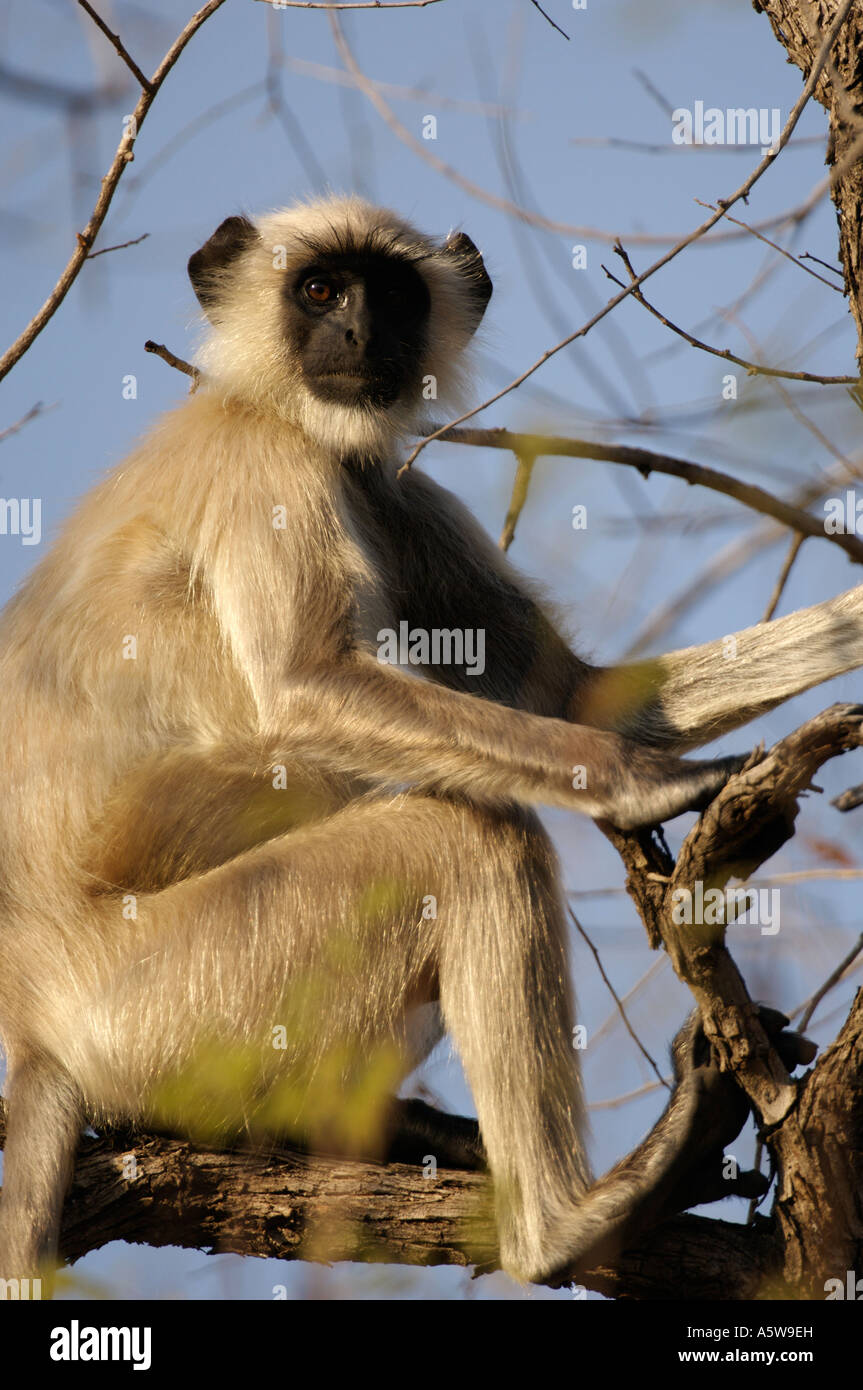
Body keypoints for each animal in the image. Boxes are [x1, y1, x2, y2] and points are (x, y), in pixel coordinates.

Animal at [0, 194, 859, 1291]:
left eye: (394, 294)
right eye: (320, 288)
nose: (360, 334)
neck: (277, 409)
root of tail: (33, 1028)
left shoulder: (385, 486)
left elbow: (576, 696)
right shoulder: (263, 464)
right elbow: (309, 686)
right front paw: (647, 785)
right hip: (162, 998)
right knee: (462, 834)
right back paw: (562, 1224)